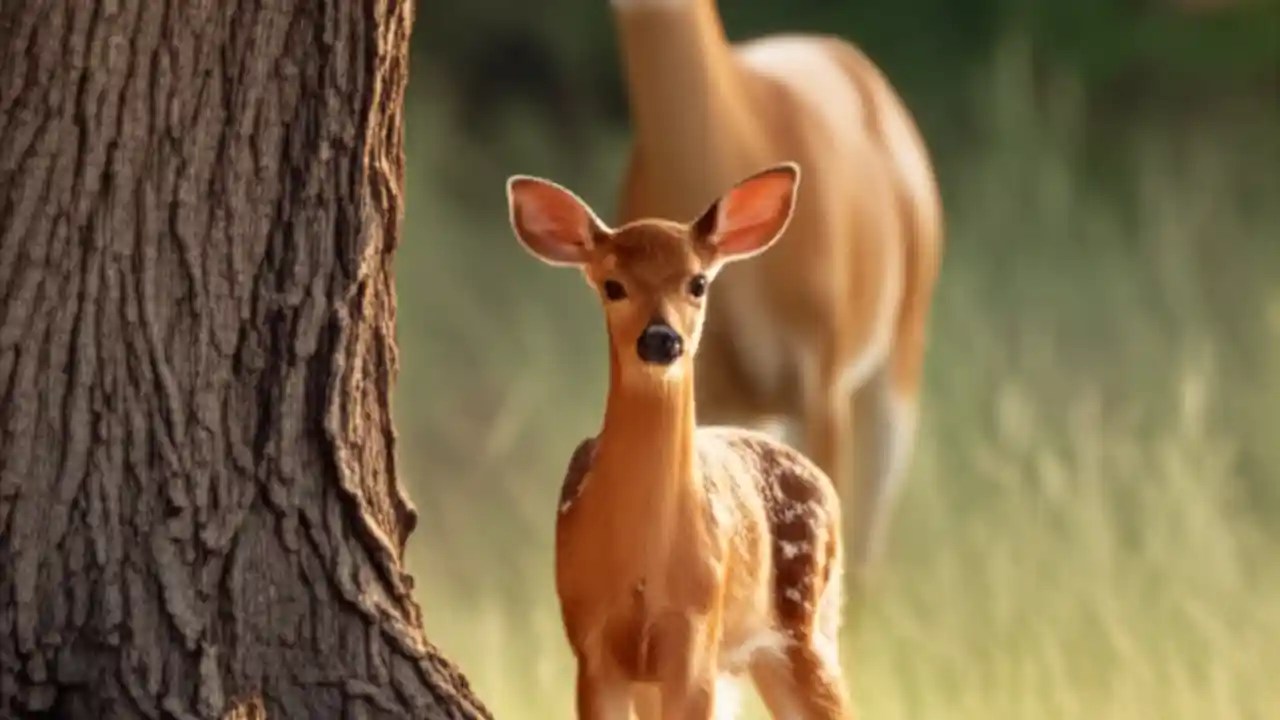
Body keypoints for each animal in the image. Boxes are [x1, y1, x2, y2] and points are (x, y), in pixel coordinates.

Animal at [506, 164, 851, 719]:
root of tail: (823, 478)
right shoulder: (590, 640)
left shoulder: (695, 635)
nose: (661, 339)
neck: (645, 570)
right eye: (613, 285)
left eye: (698, 282)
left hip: (802, 626)